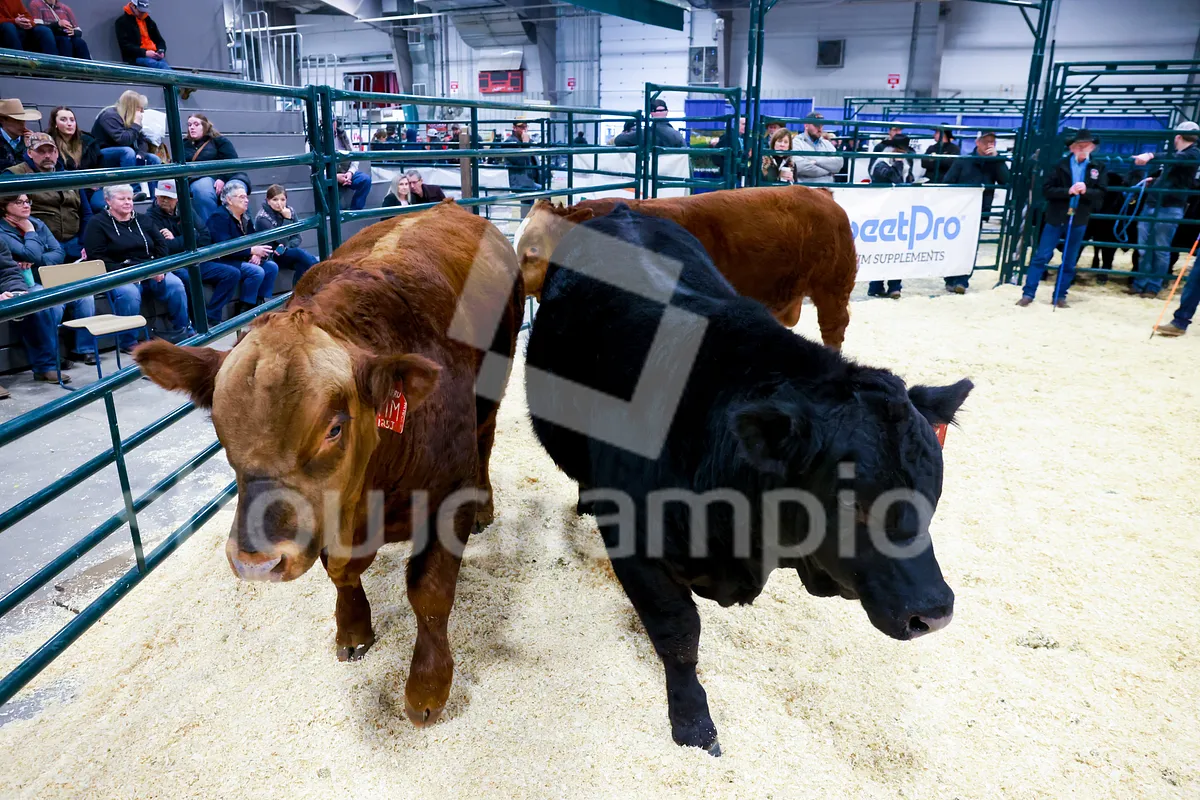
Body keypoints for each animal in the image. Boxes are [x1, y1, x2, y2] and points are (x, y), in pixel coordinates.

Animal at [134, 199, 524, 727]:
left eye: (334, 428)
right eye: (218, 421)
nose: (256, 562)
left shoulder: (447, 498)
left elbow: (430, 594)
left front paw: (427, 688)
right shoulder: (322, 517)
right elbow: (340, 573)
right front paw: (353, 631)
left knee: (487, 439)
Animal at [525, 205, 970, 755]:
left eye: (935, 492)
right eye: (850, 501)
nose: (934, 613)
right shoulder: (634, 545)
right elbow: (678, 634)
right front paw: (694, 726)